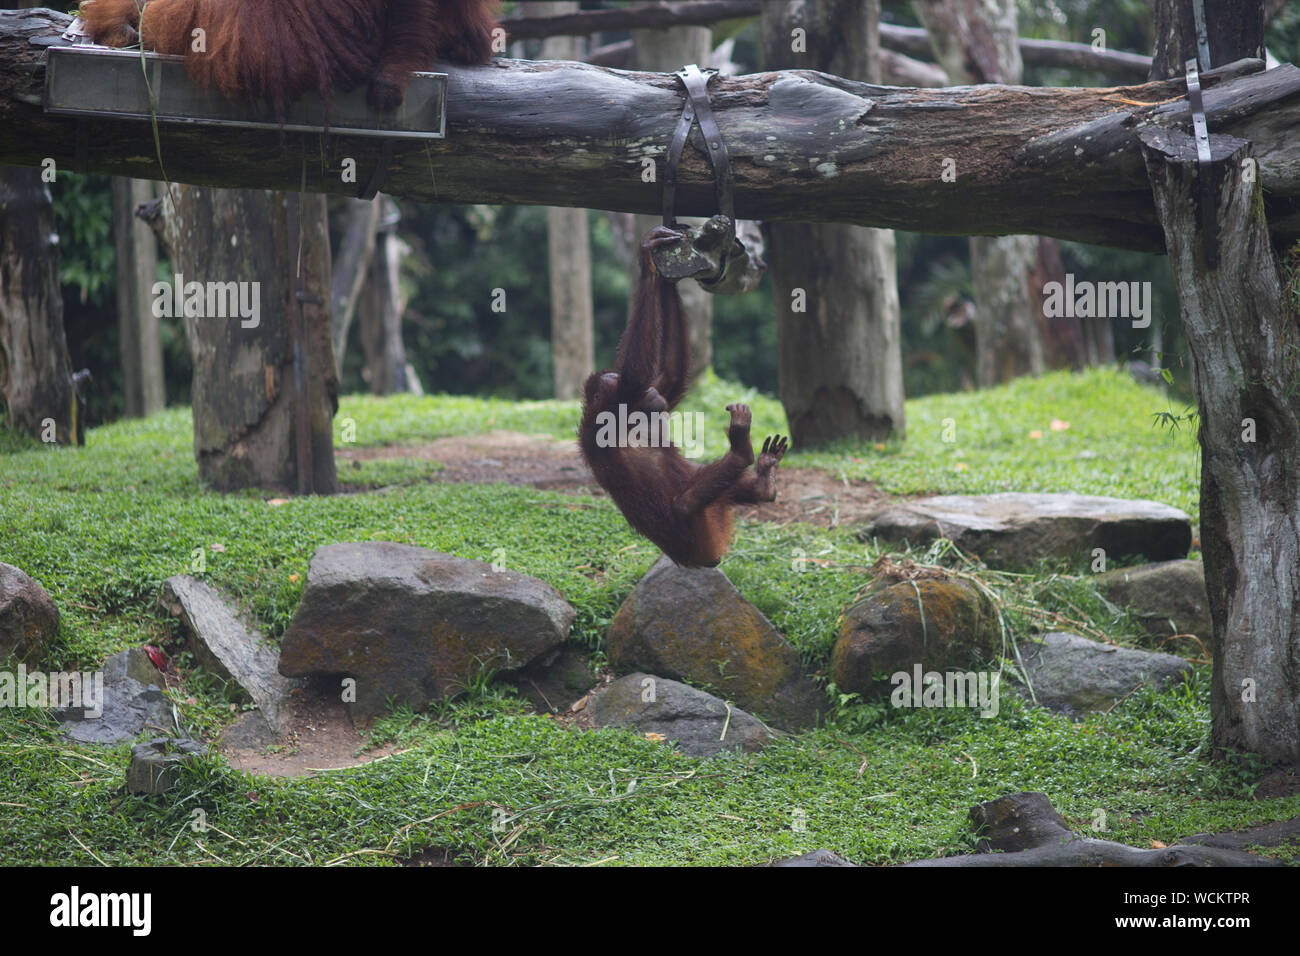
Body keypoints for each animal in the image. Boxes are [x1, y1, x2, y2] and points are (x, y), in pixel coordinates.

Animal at [579, 225, 788, 568]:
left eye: (651, 393)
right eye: (639, 394)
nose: (651, 394)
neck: (631, 421)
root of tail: (708, 557)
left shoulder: (653, 399)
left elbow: (671, 376)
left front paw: (667, 275)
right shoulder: (612, 406)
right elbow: (636, 372)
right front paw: (648, 263)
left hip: (711, 521)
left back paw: (762, 481)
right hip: (696, 533)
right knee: (686, 503)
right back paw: (741, 451)